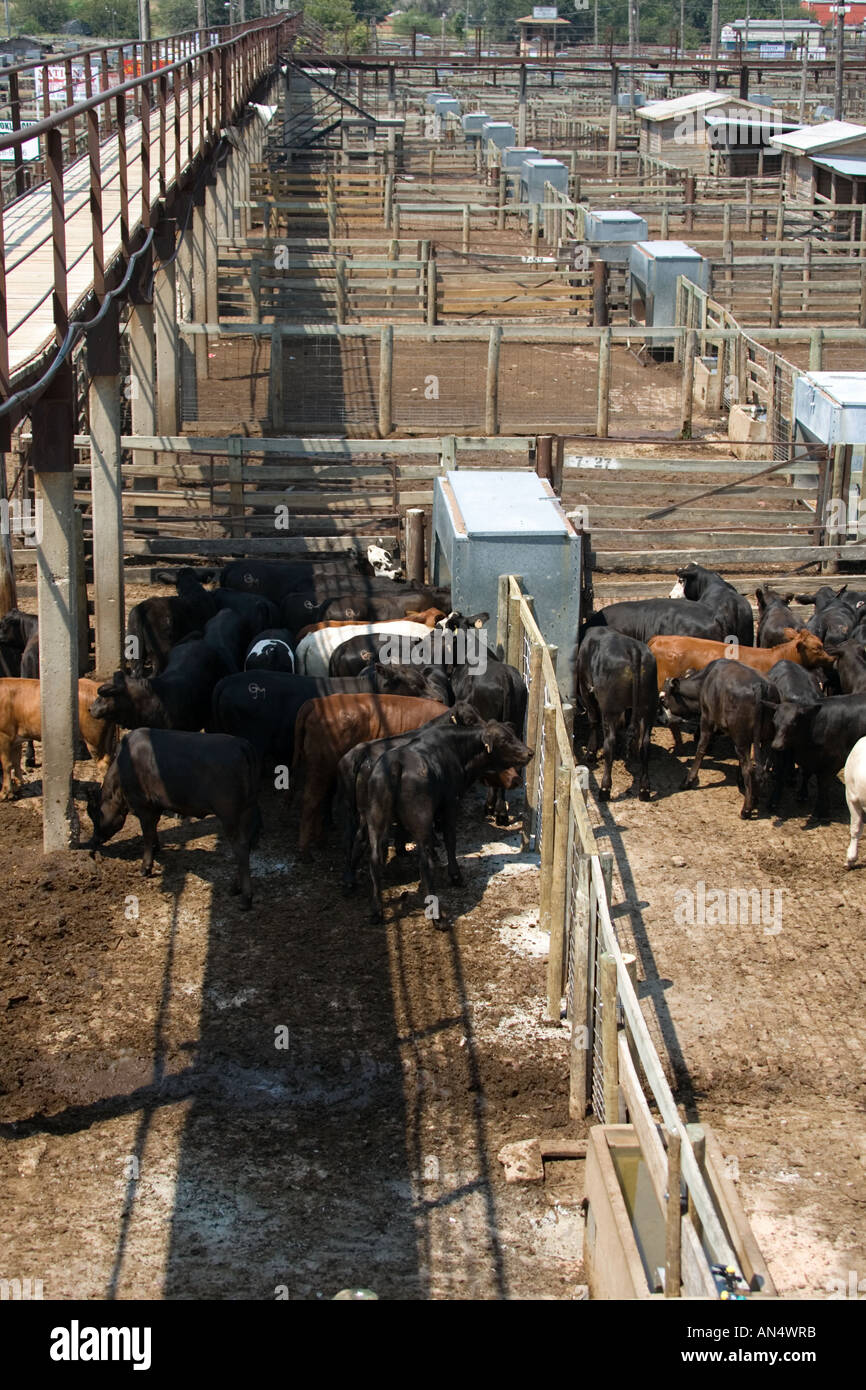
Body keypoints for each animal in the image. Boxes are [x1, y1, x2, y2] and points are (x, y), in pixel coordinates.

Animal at [85, 729, 261, 908]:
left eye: (94, 814)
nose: (93, 841)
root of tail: (241, 744)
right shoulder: (155, 806)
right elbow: (153, 829)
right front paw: (156, 848)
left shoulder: (143, 804)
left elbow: (147, 835)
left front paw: (145, 867)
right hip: (247, 810)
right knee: (246, 846)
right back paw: (235, 887)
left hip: (229, 814)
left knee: (240, 848)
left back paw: (246, 898)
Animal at [292, 693, 456, 860]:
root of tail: (317, 702)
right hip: (321, 767)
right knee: (310, 801)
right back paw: (305, 853)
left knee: (319, 801)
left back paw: (320, 841)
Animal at [364, 719, 533, 925]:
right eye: (504, 739)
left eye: (513, 734)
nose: (529, 753)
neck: (458, 750)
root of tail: (397, 763)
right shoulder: (451, 804)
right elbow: (450, 840)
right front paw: (456, 876)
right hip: (421, 820)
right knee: (425, 862)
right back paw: (437, 918)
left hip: (376, 819)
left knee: (375, 860)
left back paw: (376, 911)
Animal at [576, 627, 657, 801]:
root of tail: (634, 650)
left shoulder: (585, 689)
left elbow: (593, 720)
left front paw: (591, 752)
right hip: (648, 709)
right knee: (645, 744)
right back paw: (644, 790)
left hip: (609, 708)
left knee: (609, 741)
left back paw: (604, 789)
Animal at [665, 660, 780, 818]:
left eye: (664, 699)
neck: (705, 681)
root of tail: (760, 685)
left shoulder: (707, 719)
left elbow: (701, 748)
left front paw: (688, 780)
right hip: (765, 739)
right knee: (761, 768)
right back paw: (754, 798)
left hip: (741, 739)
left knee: (749, 769)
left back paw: (746, 809)